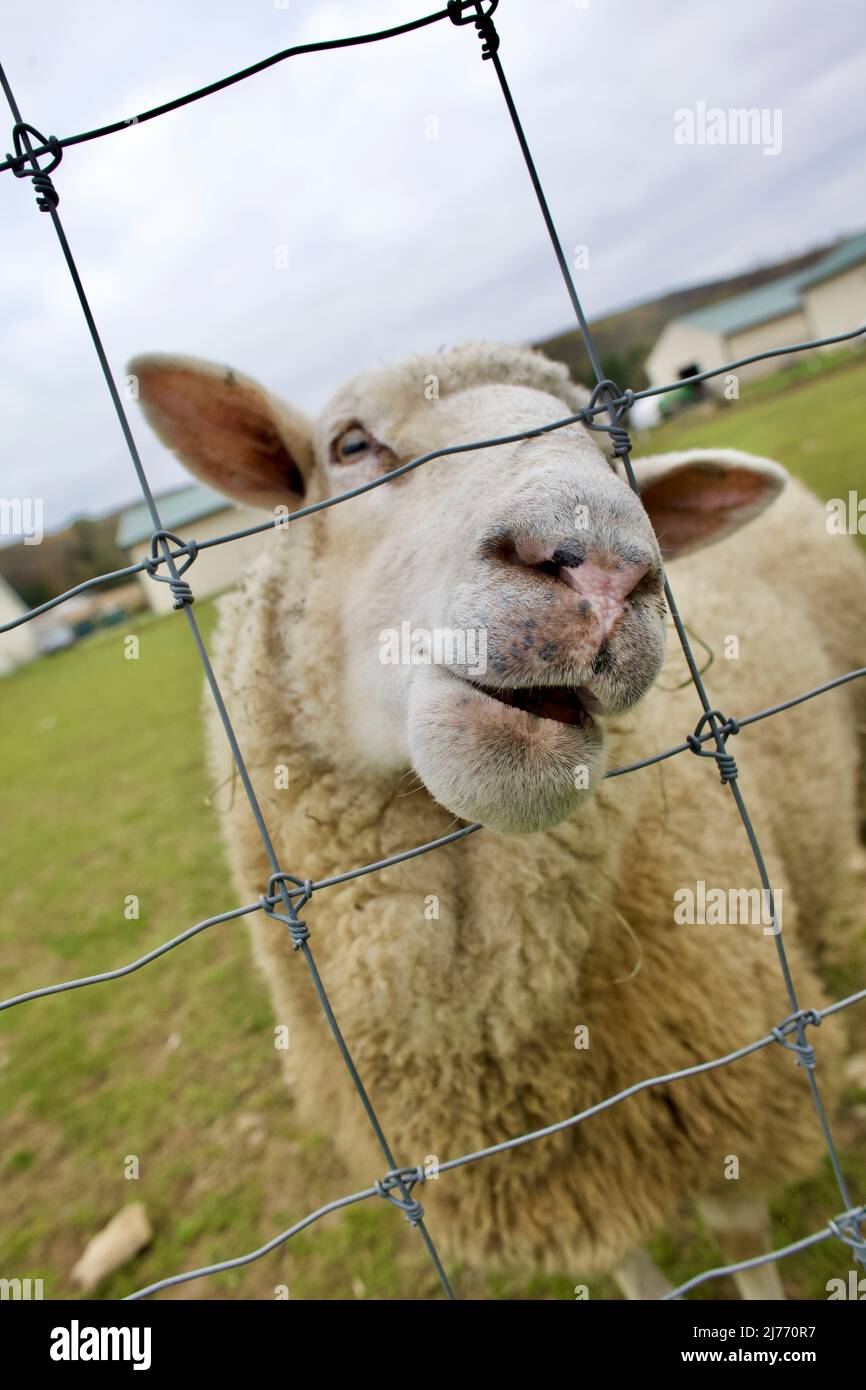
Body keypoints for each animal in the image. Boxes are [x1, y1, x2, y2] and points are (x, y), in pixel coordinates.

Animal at [131, 341, 866, 1299]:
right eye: (350, 444)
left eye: (611, 454)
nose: (607, 568)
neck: (505, 1059)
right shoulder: (561, 1183)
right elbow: (633, 1273)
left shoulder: (736, 1094)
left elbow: (746, 1247)